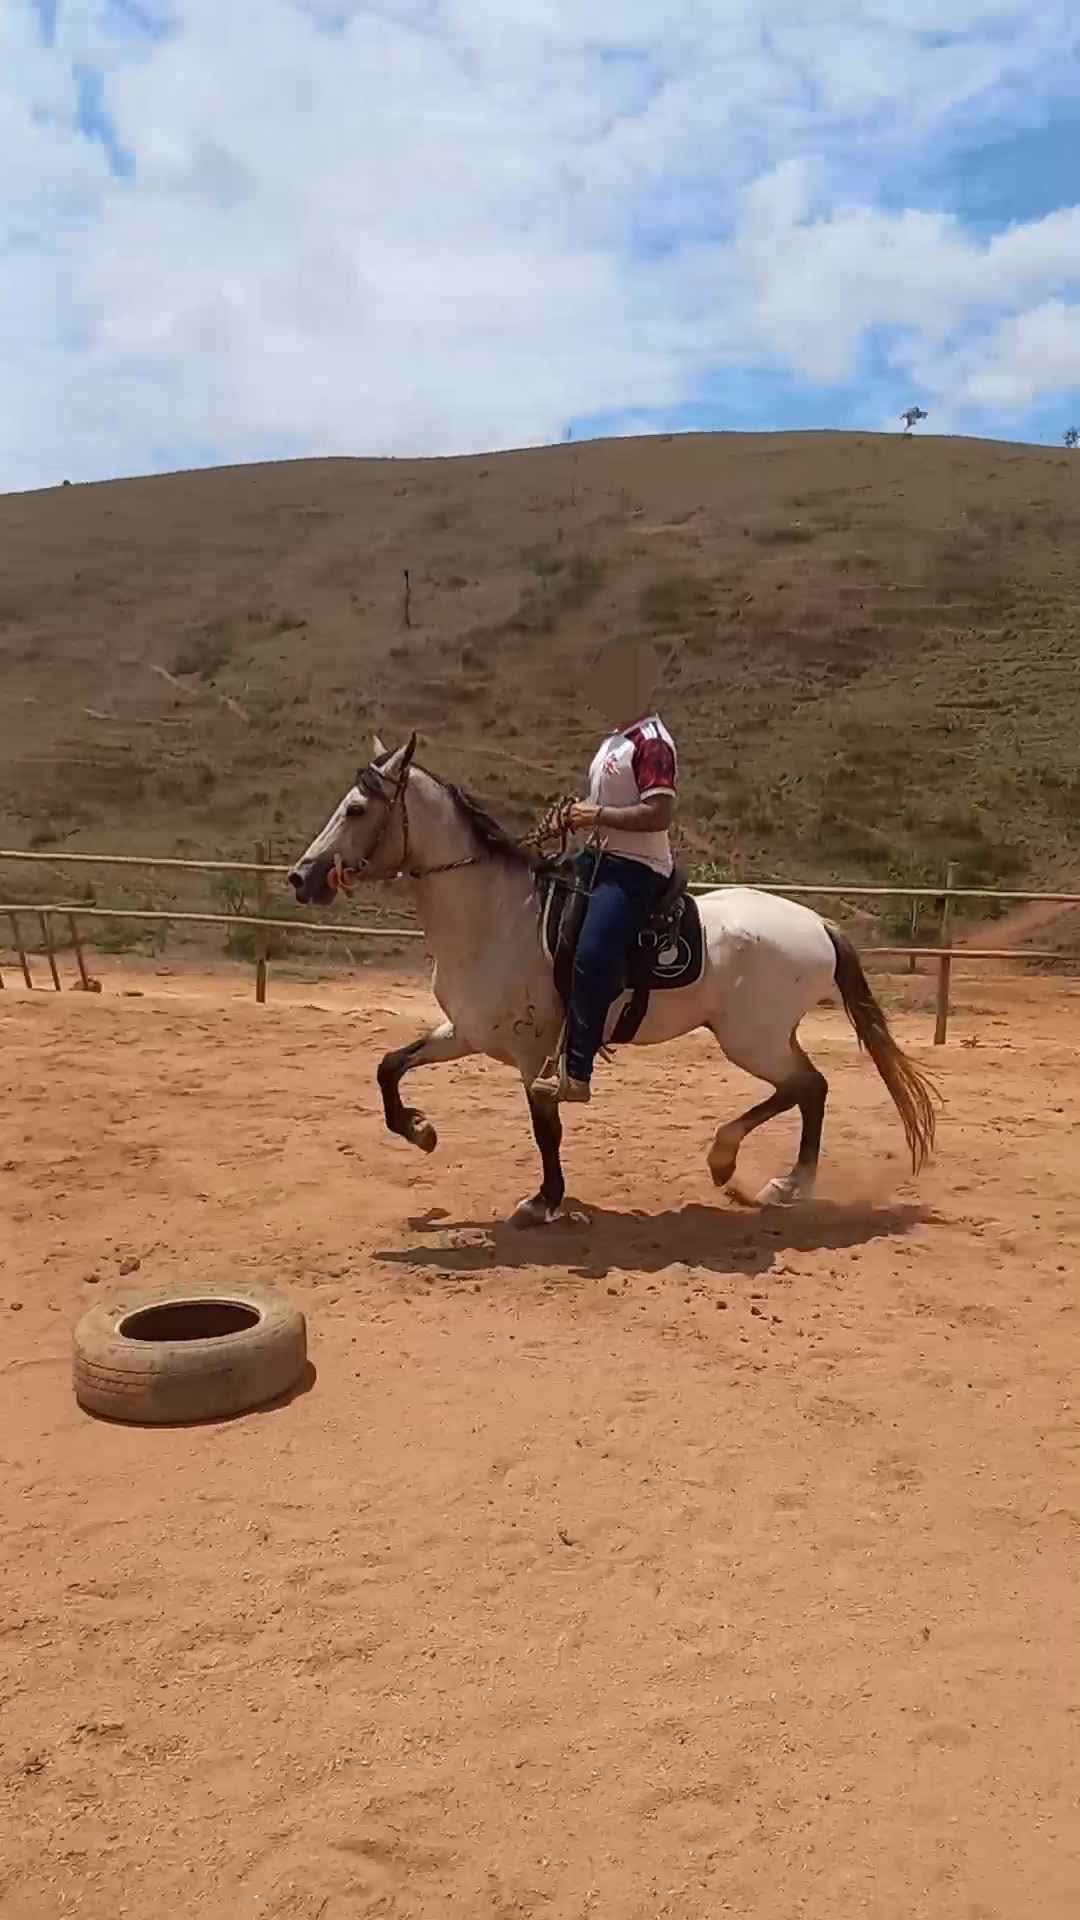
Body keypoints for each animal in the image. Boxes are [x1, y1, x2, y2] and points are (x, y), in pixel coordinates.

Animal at [288, 735, 937, 1227]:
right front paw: (419, 1131)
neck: (496, 915)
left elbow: (544, 1126)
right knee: (802, 1089)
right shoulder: (467, 1032)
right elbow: (390, 1066)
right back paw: (732, 1163)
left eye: (356, 809)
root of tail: (818, 923)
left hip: (751, 1038)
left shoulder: (534, 1052)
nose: (301, 877)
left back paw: (779, 1179)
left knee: (810, 1087)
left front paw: (543, 1201)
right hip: (761, 1036)